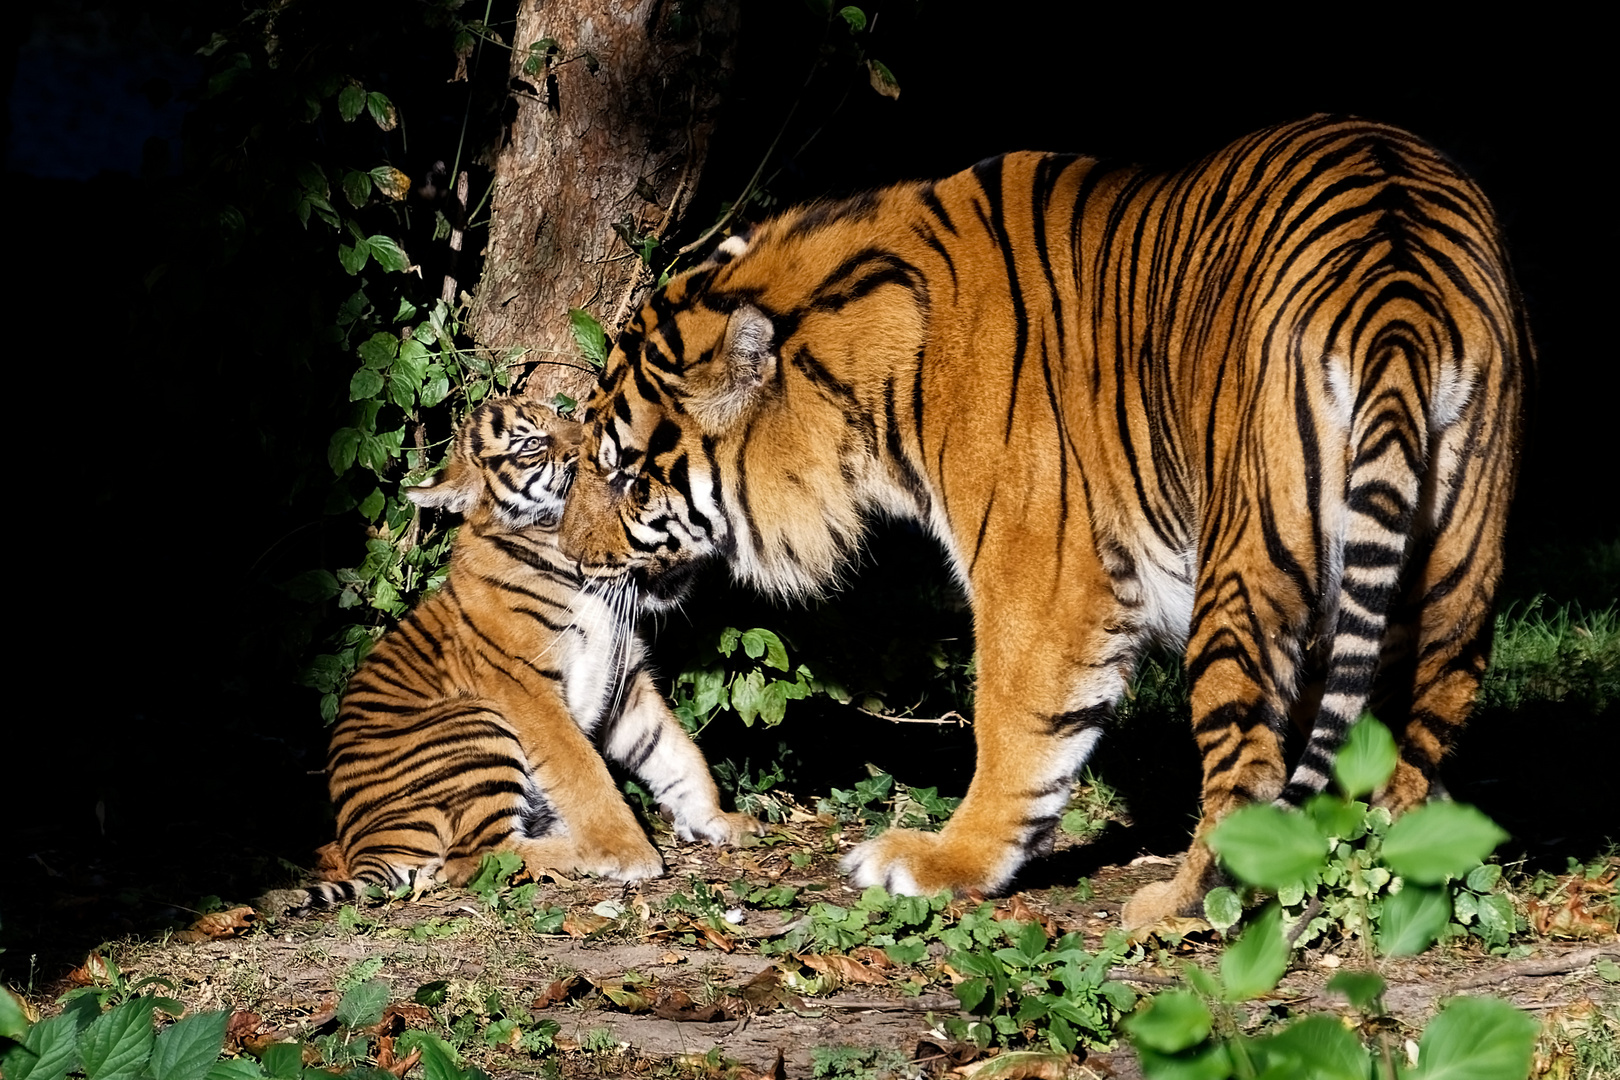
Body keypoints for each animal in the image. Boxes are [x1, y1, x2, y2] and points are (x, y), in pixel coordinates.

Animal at [272, 398, 760, 911]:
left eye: (563, 417)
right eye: (531, 442)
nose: (596, 444)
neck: (565, 553)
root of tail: (365, 850)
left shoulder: (624, 682)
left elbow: (677, 754)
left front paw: (717, 820)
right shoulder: (529, 686)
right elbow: (584, 772)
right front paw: (629, 851)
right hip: (474, 727)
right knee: (472, 858)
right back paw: (581, 852)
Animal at [556, 115, 1530, 928]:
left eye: (623, 476)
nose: (571, 553)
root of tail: (1396, 286)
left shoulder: (1046, 570)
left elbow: (1016, 724)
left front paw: (945, 861)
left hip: (1245, 567)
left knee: (1248, 766)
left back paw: (1176, 905)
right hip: (1455, 568)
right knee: (1422, 726)